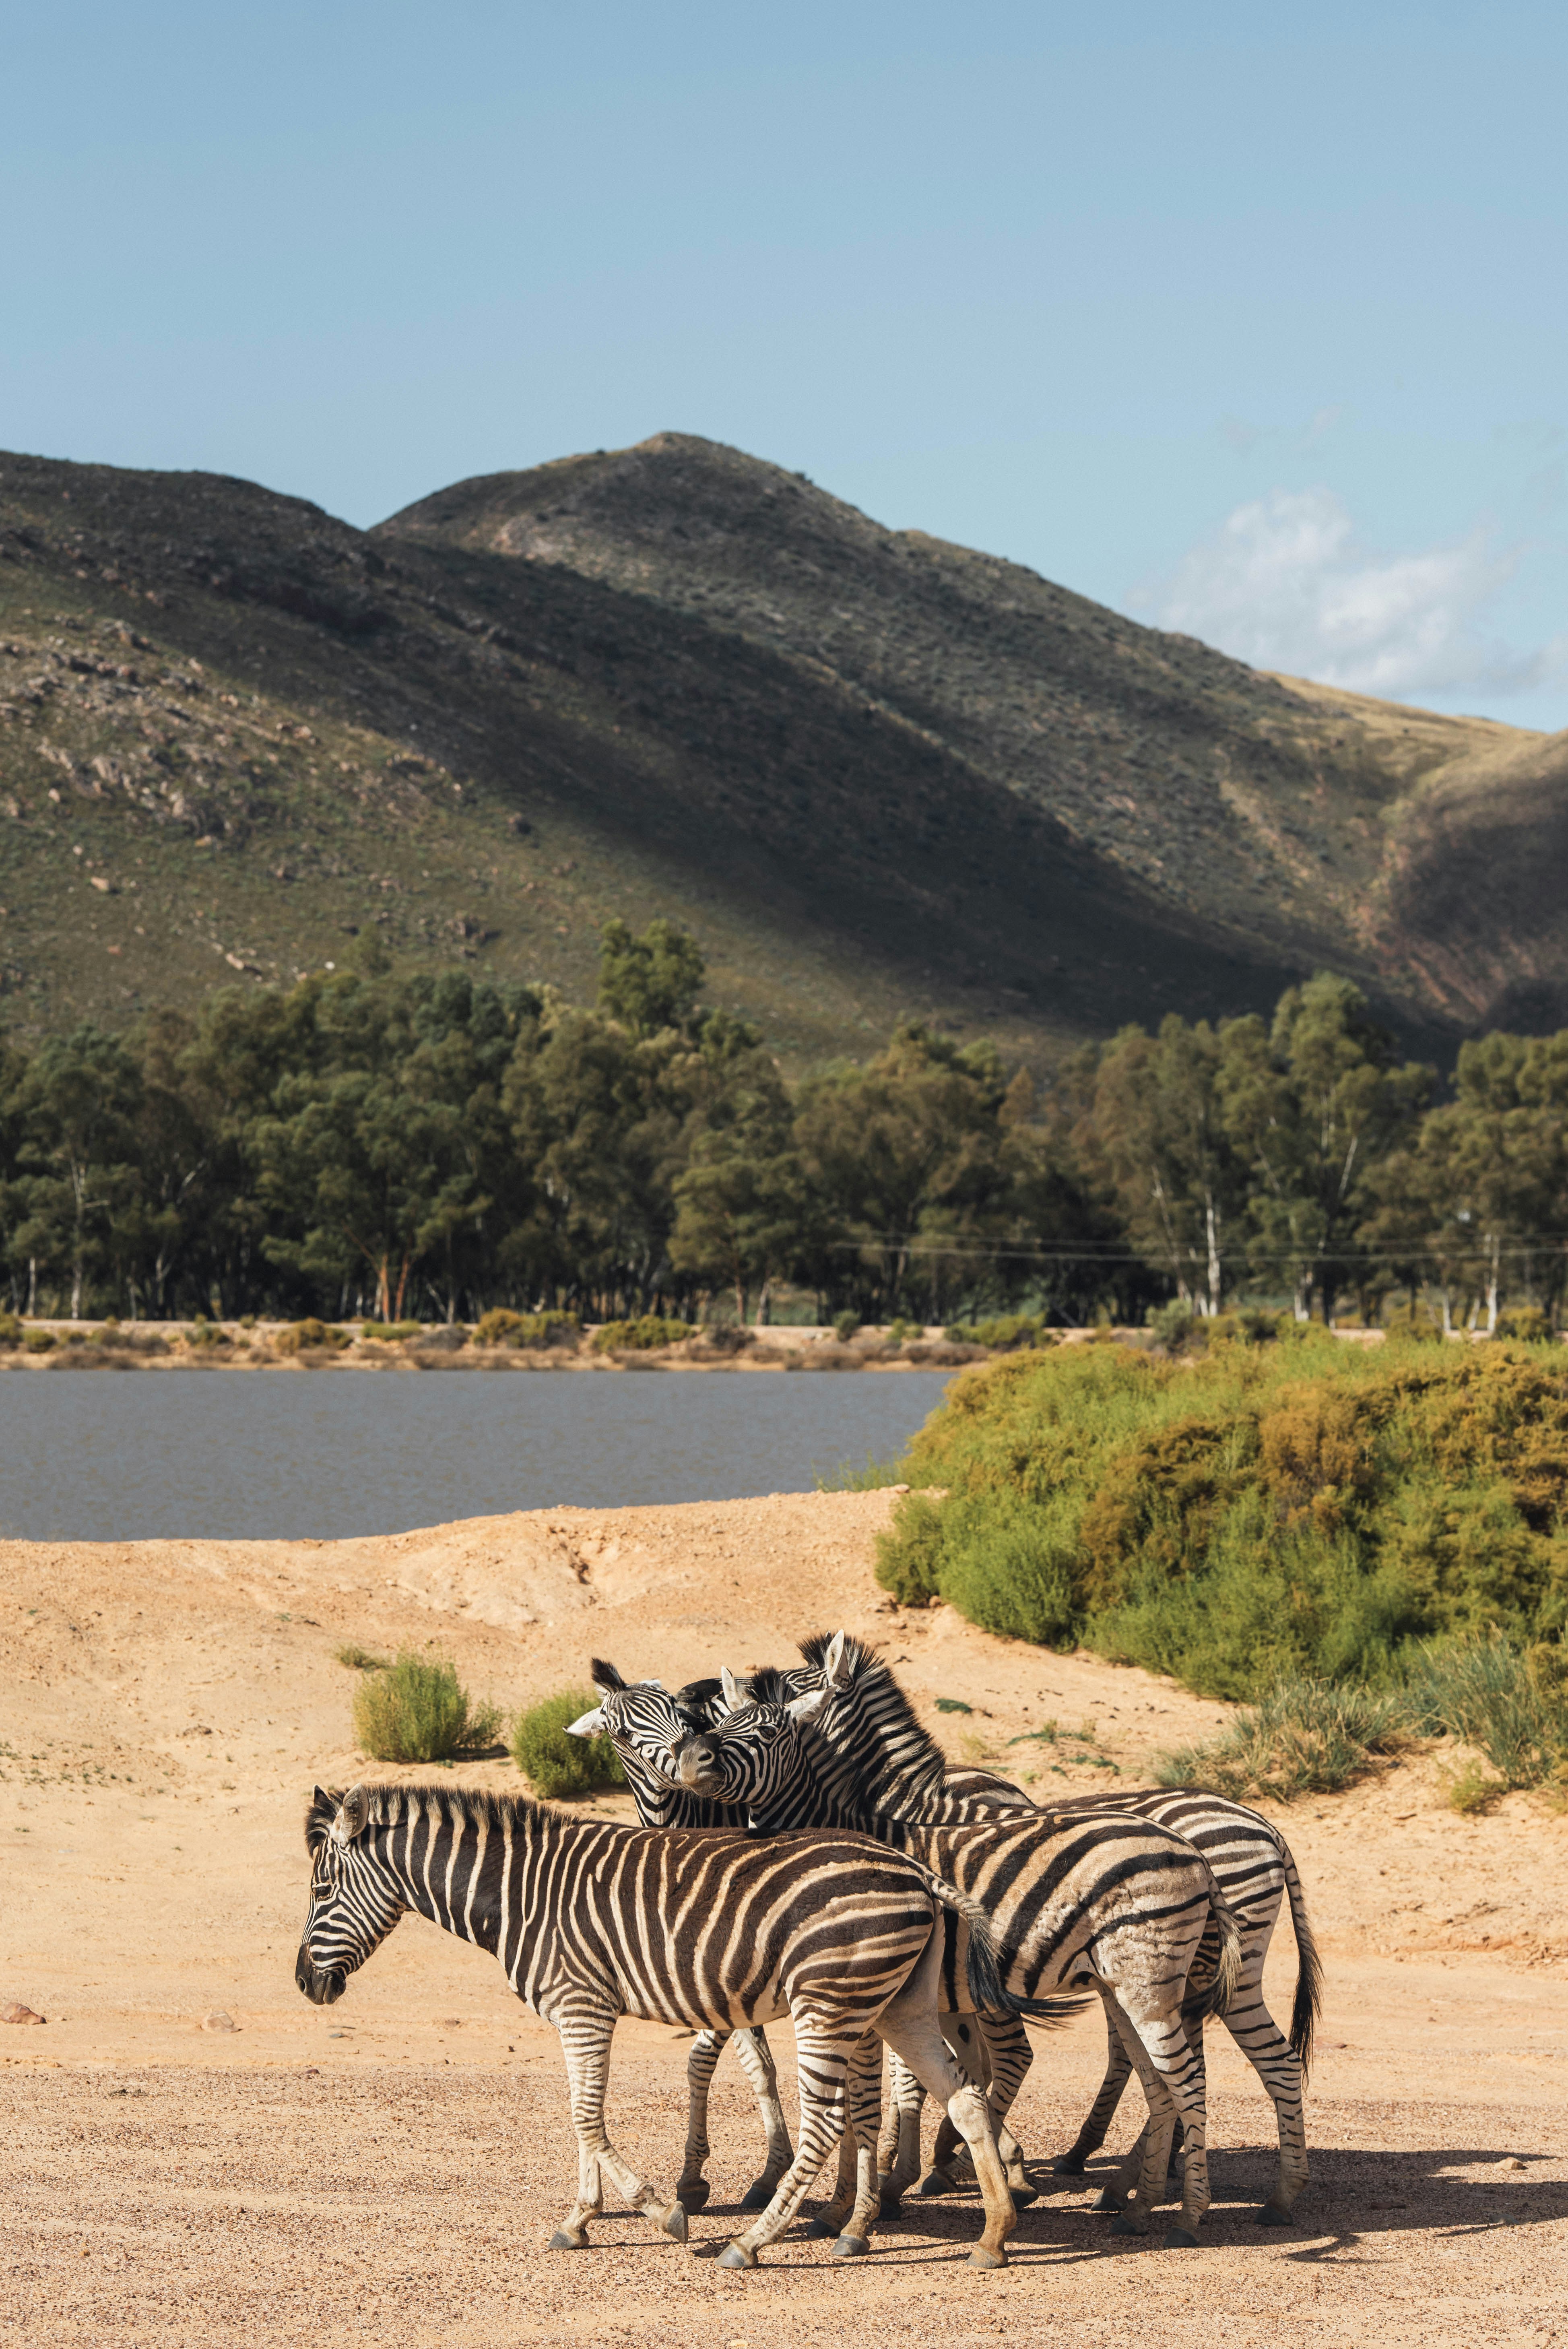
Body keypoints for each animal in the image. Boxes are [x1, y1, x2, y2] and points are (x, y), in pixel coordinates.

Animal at [294, 1779, 1021, 2269]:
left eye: (321, 1892)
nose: (305, 1984)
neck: (517, 1892)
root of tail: (917, 1870)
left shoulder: (582, 2003)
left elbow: (587, 2116)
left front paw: (659, 2210)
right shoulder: (573, 2011)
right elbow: (578, 2116)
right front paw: (581, 2219)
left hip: (830, 2000)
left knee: (826, 2122)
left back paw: (750, 2242)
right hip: (899, 2004)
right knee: (964, 2100)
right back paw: (992, 2233)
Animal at [672, 1641, 1246, 2248]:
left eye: (768, 1731)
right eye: (725, 1722)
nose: (690, 1760)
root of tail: (1191, 1852)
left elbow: (868, 2098)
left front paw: (860, 2203)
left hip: (1147, 1983)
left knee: (1188, 2081)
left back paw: (1188, 2215)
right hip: (1124, 1986)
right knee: (1161, 2084)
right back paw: (1137, 2206)